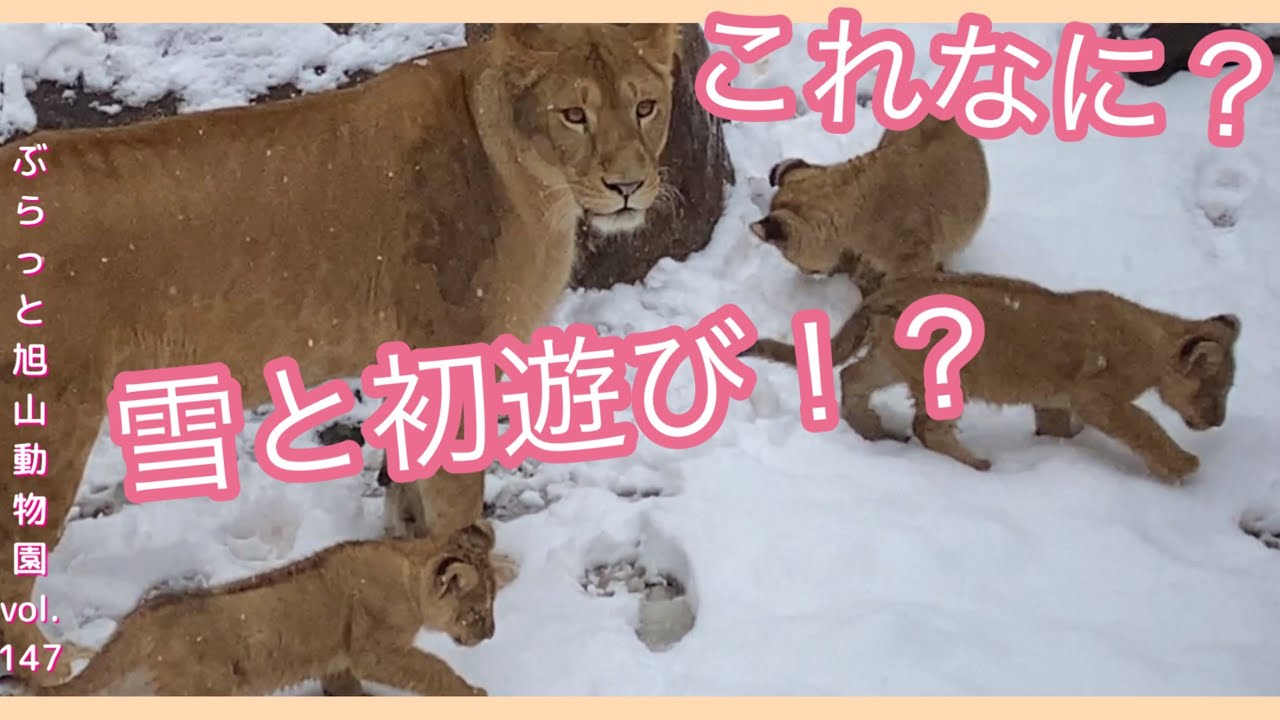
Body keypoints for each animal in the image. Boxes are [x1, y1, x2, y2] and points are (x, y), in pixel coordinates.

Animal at [19, 521, 496, 696]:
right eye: (477, 612)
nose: (490, 634)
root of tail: (141, 617)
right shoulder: (375, 649)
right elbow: (432, 668)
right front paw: (472, 693)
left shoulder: (340, 658)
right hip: (204, 690)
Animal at [746, 272, 1241, 483]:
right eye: (1215, 388)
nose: (1218, 421)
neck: (1155, 338)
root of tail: (888, 290)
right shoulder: (1096, 396)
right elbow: (1145, 427)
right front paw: (1182, 466)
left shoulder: (1055, 397)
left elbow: (1056, 427)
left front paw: (1060, 446)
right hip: (945, 376)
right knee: (926, 426)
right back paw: (979, 464)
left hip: (890, 358)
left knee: (852, 377)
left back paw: (873, 433)